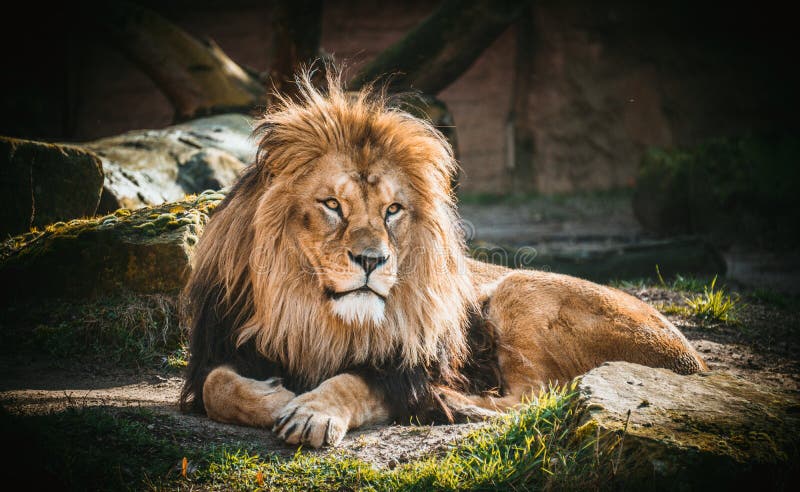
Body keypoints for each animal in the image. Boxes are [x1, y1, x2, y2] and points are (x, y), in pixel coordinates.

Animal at [179, 69, 707, 448]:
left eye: (393, 210)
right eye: (332, 204)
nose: (372, 260)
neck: (311, 312)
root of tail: (692, 359)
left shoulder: (406, 367)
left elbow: (356, 381)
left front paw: (311, 410)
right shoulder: (220, 344)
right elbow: (216, 387)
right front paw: (277, 397)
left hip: (519, 291)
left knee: (535, 398)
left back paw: (450, 402)